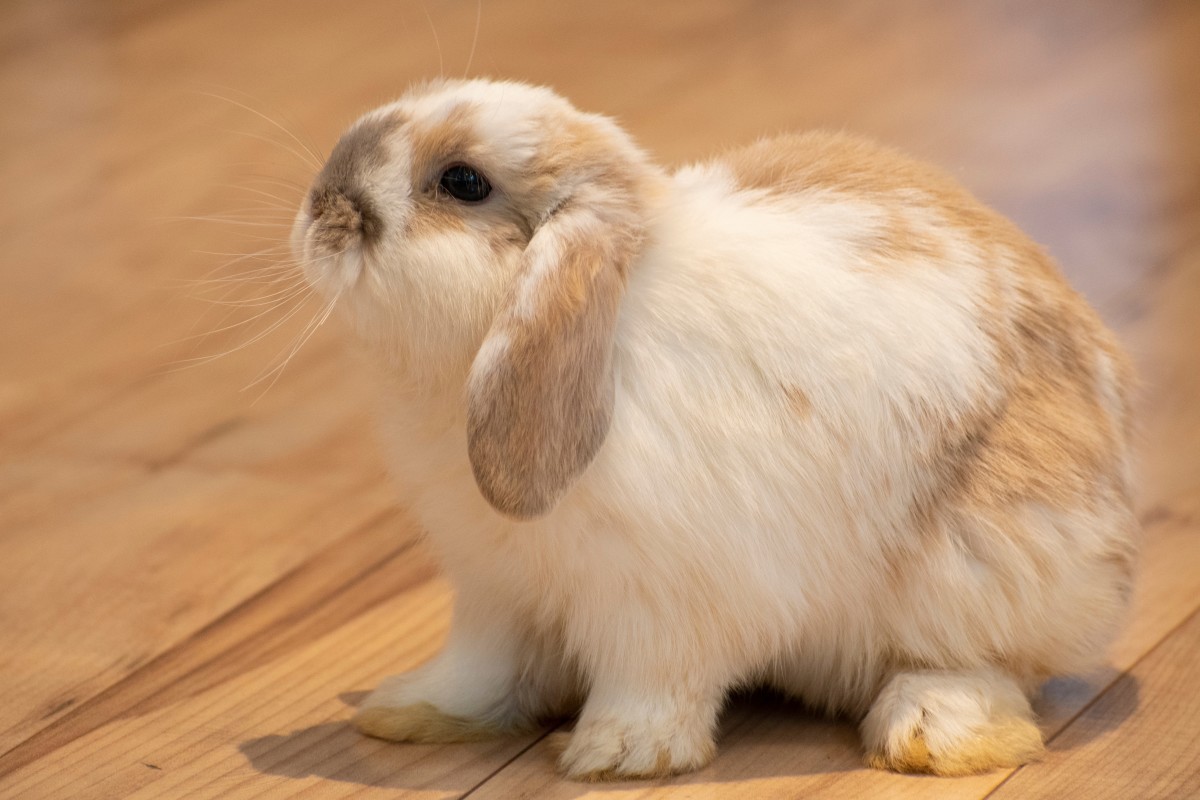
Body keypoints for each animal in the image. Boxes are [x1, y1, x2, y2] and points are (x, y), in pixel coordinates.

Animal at [291, 78, 1138, 780]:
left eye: (462, 181)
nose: (322, 207)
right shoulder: (494, 588)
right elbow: (483, 669)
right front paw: (411, 710)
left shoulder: (660, 599)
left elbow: (651, 680)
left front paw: (619, 754)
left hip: (977, 570)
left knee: (982, 666)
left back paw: (933, 735)